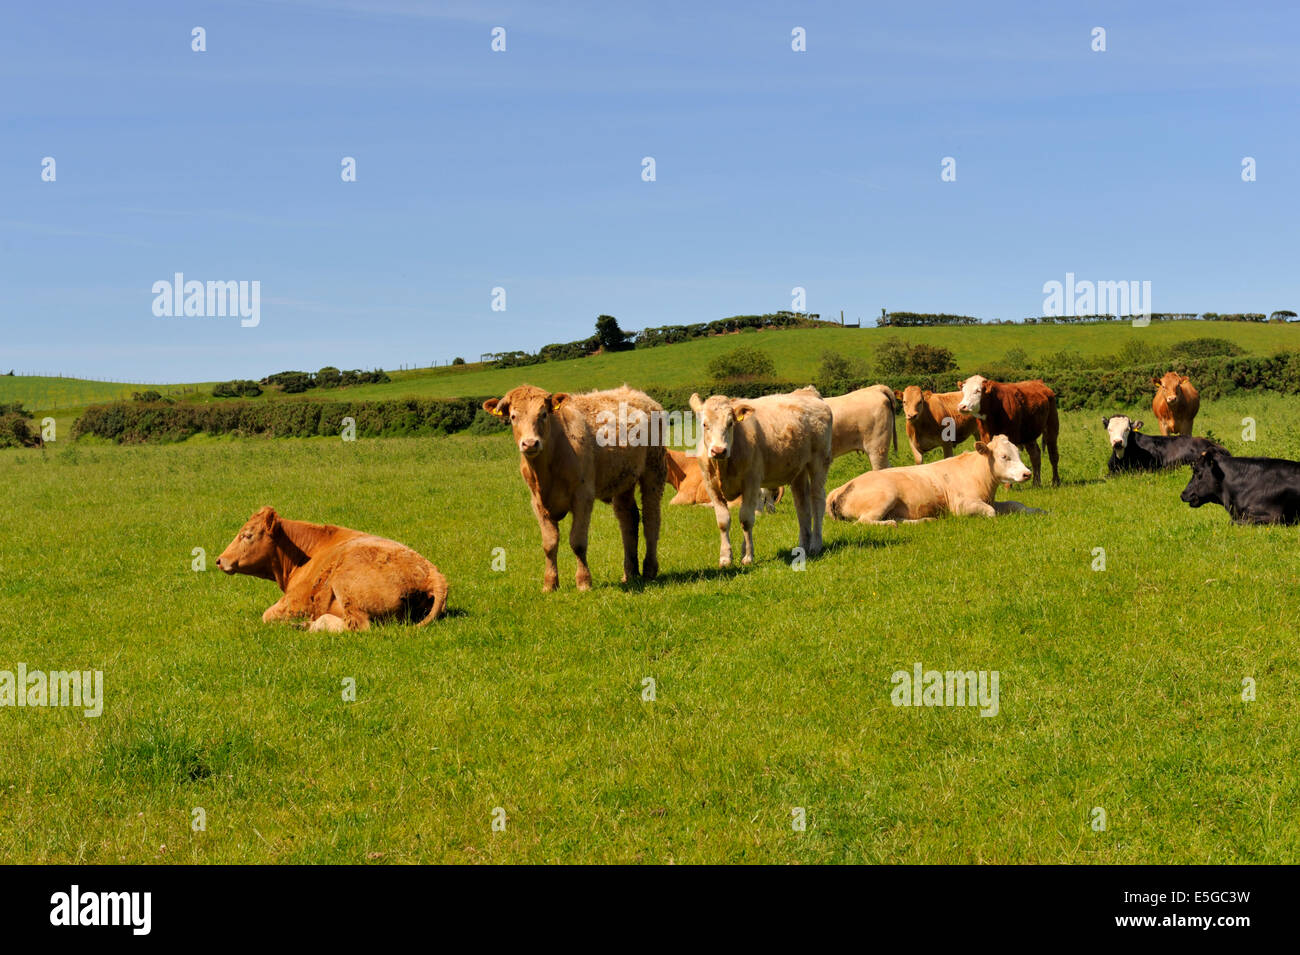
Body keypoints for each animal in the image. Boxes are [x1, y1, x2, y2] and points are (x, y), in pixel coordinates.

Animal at [216, 506, 448, 631]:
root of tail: (432, 573)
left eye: (247, 535)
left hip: (346, 586)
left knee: (356, 625)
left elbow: (267, 615)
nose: (219, 560)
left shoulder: (293, 603)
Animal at [483, 384, 665, 592]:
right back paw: (630, 573)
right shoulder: (537, 502)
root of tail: (640, 395)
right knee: (628, 519)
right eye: (513, 416)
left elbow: (577, 541)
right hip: (623, 480)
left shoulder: (583, 496)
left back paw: (649, 569)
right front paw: (550, 584)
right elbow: (549, 544)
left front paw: (584, 582)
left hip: (654, 470)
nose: (530, 443)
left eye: (543, 414)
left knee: (651, 518)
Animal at [689, 386, 832, 566]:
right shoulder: (711, 486)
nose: (718, 450)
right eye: (704, 424)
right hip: (799, 470)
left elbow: (746, 519)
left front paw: (748, 556)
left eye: (730, 423)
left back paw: (816, 545)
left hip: (819, 462)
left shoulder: (751, 482)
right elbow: (723, 521)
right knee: (802, 506)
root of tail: (808, 392)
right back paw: (803, 545)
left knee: (817, 500)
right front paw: (725, 557)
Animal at [825, 435, 1042, 524]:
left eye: (1018, 453)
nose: (1027, 473)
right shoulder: (961, 505)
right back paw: (891, 525)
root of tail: (840, 488)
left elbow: (1015, 504)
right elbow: (991, 512)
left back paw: (924, 520)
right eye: (1004, 456)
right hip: (884, 496)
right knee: (864, 522)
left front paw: (1038, 510)